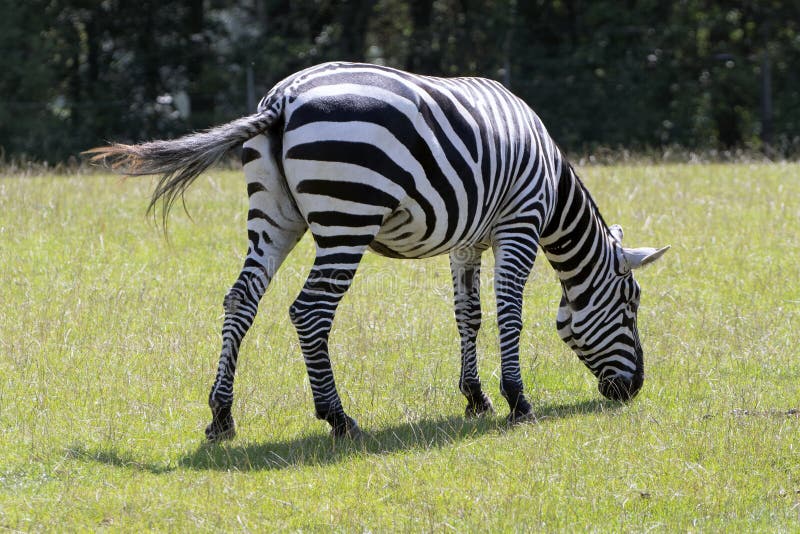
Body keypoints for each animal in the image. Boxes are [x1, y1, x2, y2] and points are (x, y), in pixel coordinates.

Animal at [87, 62, 669, 441]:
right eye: (632, 305)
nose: (634, 389)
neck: (552, 190)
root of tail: (282, 99)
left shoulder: (468, 241)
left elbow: (469, 315)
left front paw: (474, 397)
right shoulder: (518, 225)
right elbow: (509, 313)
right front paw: (516, 401)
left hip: (274, 216)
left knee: (240, 300)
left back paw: (222, 416)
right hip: (348, 218)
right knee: (309, 311)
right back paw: (338, 418)